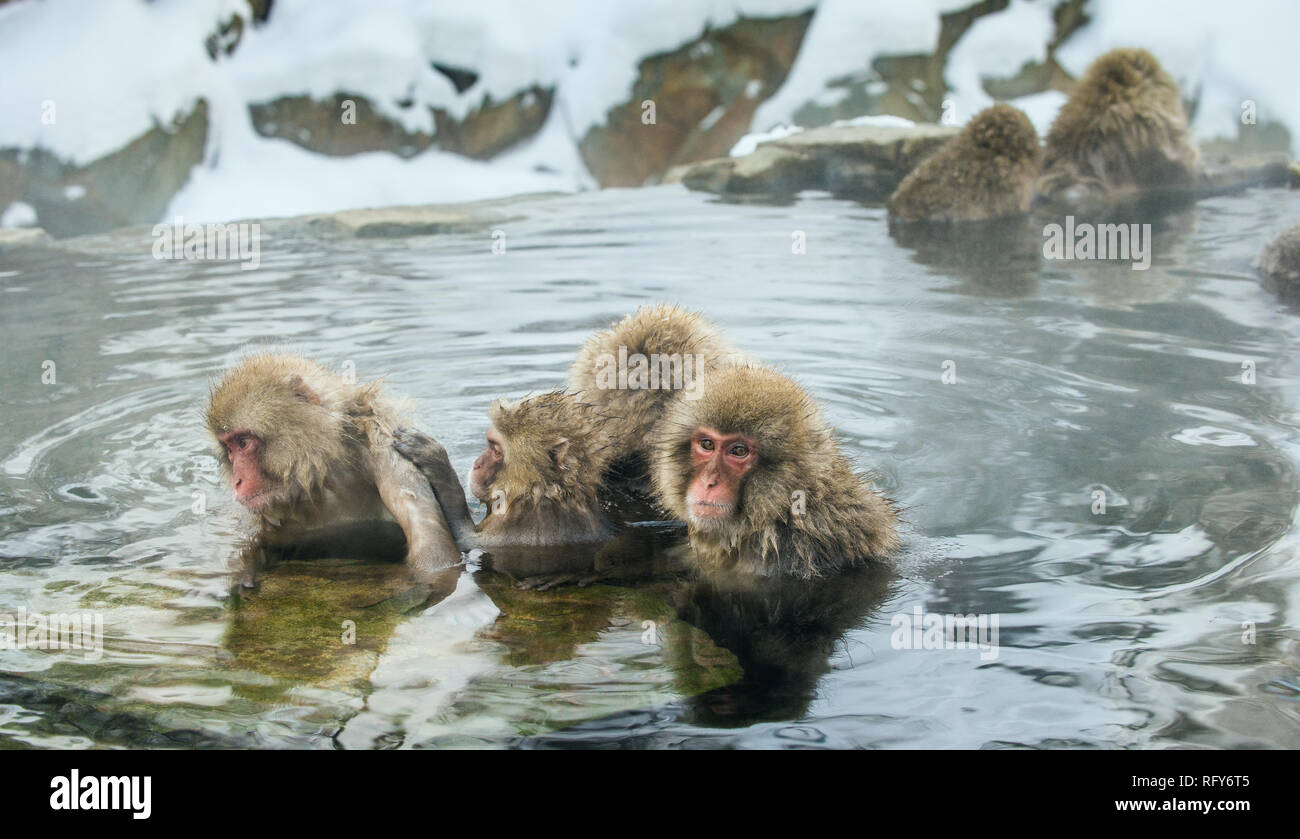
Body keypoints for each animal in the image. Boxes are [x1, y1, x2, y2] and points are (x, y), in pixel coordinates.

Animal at [205, 352, 459, 587]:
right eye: (228, 449)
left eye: (243, 443)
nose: (237, 481)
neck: (326, 469)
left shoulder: (385, 449)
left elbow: (435, 559)